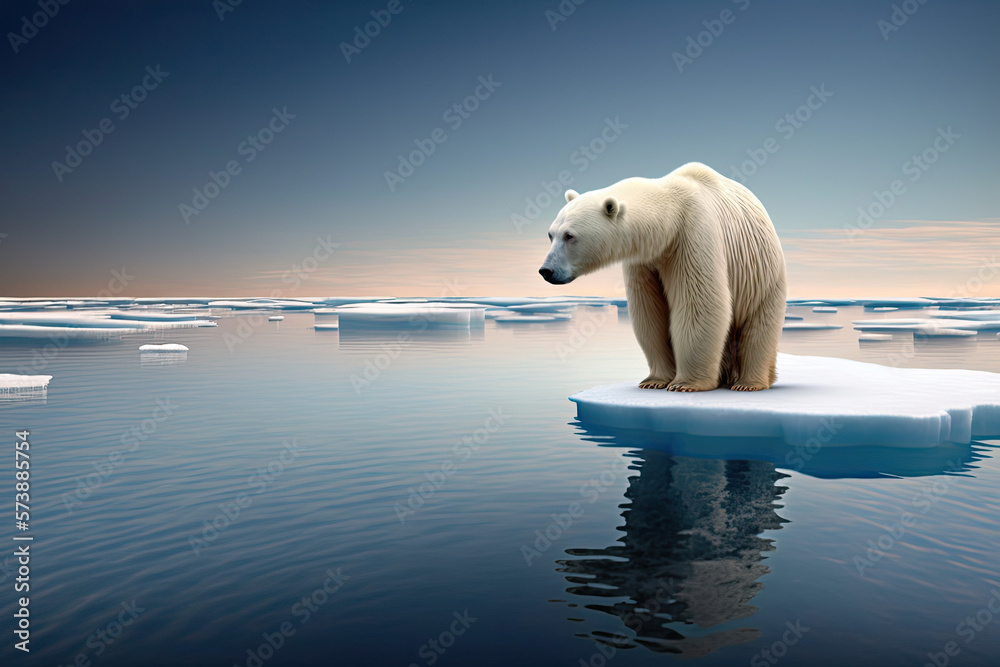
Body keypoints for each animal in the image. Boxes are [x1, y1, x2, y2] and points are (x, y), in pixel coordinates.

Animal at [538, 162, 786, 392]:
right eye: (551, 234)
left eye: (569, 235)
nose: (546, 270)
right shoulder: (644, 259)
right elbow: (650, 313)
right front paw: (654, 380)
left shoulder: (692, 235)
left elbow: (699, 304)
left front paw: (685, 384)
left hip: (761, 275)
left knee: (759, 328)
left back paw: (748, 383)